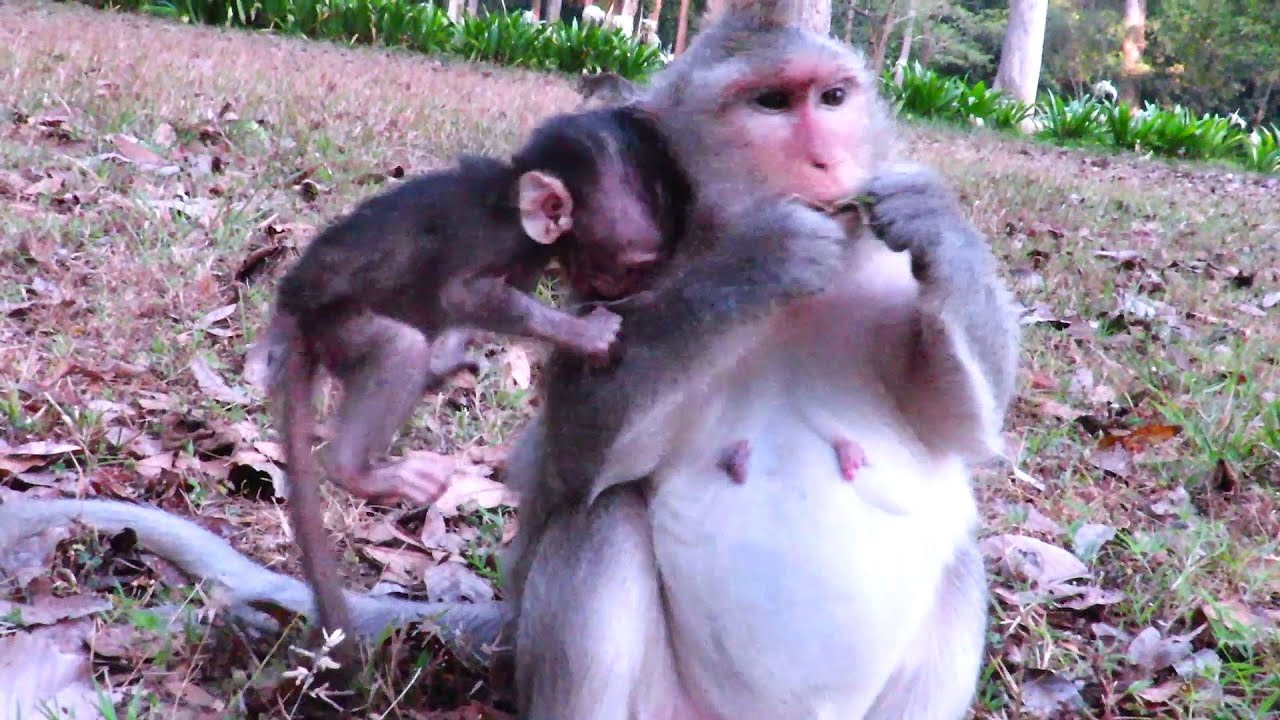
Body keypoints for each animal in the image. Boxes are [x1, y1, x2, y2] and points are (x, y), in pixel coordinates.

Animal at [263, 104, 692, 668]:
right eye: (634, 265)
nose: (642, 289)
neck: (513, 199)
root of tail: (294, 313)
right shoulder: (503, 242)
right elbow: (465, 295)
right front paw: (588, 334)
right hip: (338, 324)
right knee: (400, 347)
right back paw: (355, 469)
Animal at [496, 2, 1021, 718]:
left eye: (832, 98)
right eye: (771, 103)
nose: (826, 160)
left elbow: (960, 426)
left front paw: (935, 221)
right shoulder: (612, 280)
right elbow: (578, 454)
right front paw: (765, 256)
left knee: (962, 564)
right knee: (602, 523)